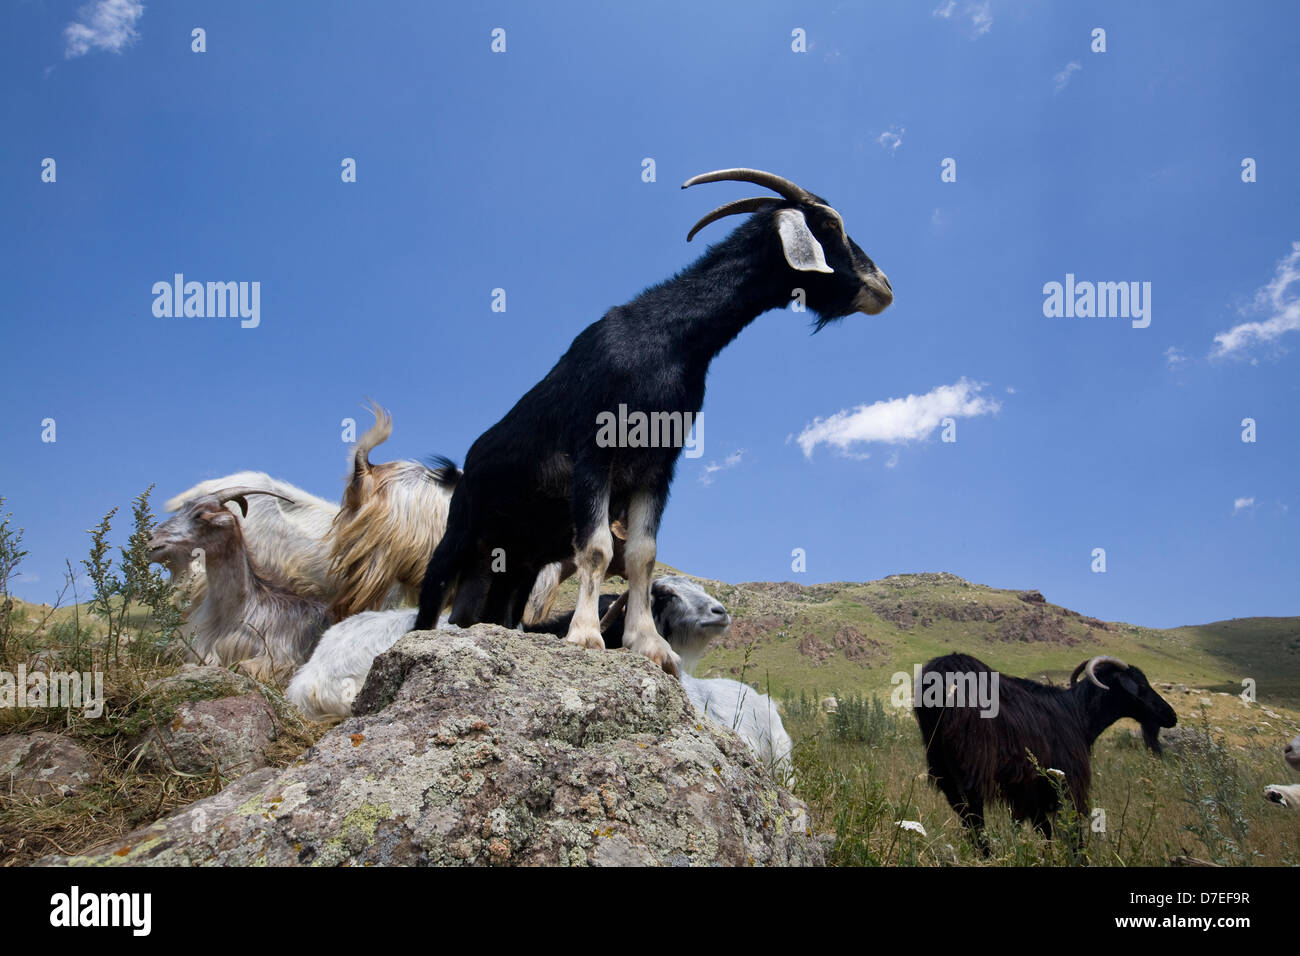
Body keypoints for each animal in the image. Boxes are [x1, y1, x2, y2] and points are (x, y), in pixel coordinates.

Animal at [413, 168, 892, 678]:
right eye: (829, 224)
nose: (883, 286)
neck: (667, 341)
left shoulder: (658, 467)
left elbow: (642, 555)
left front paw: (648, 644)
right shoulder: (594, 452)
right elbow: (598, 546)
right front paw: (585, 636)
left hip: (514, 566)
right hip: (459, 536)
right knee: (429, 598)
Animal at [914, 653, 1176, 851]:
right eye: (1141, 685)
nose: (1170, 716)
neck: (1078, 714)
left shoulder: (1031, 793)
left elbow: (1044, 833)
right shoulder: (1067, 784)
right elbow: (1072, 834)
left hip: (944, 771)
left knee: (968, 820)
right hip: (973, 768)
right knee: (976, 820)